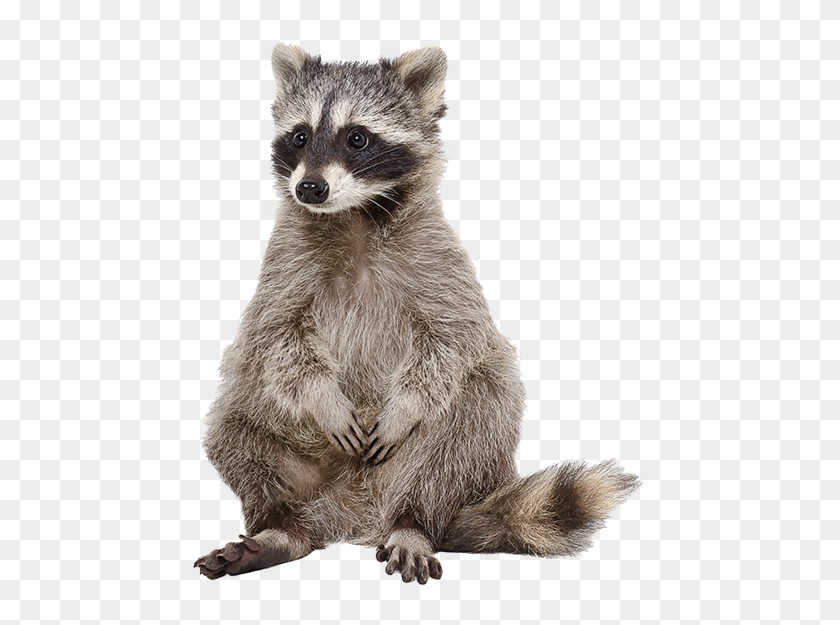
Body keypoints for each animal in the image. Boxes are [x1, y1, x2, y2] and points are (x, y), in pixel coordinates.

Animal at [194, 44, 640, 584]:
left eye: (357, 137)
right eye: (299, 136)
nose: (310, 188)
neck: (355, 215)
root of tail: (358, 513)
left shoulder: (436, 253)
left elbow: (456, 338)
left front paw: (406, 406)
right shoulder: (286, 258)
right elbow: (274, 335)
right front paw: (323, 397)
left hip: (455, 464)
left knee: (476, 409)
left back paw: (413, 521)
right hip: (287, 441)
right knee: (234, 422)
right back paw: (280, 526)